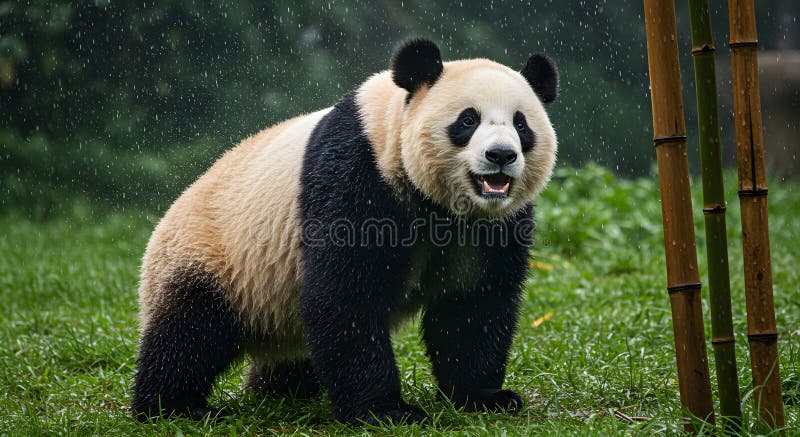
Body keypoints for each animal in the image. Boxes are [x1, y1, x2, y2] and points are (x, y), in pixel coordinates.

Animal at [131, 39, 558, 426]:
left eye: (521, 124)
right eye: (468, 120)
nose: (501, 155)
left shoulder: (490, 226)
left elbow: (472, 303)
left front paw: (485, 398)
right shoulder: (357, 173)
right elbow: (345, 292)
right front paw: (386, 412)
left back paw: (278, 391)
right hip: (216, 258)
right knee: (190, 333)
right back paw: (174, 406)